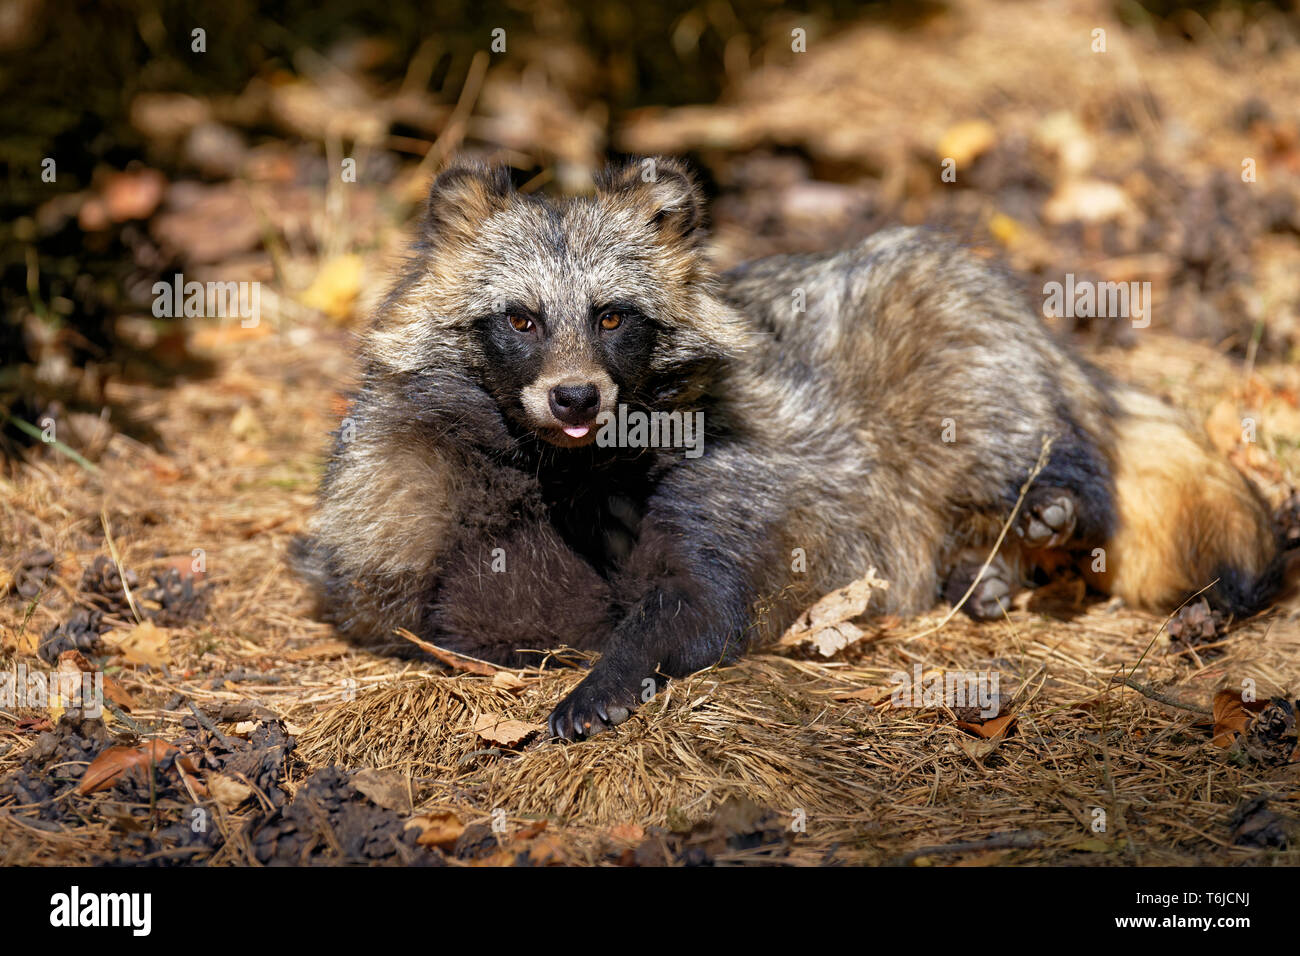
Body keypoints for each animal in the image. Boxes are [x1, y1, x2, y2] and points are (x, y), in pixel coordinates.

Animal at [294, 156, 1285, 740]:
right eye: (521, 320)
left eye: (612, 317)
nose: (575, 396)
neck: (565, 465)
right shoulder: (392, 518)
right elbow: (437, 619)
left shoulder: (729, 480)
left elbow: (697, 601)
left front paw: (616, 666)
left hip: (943, 324)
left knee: (1011, 426)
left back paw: (1043, 512)